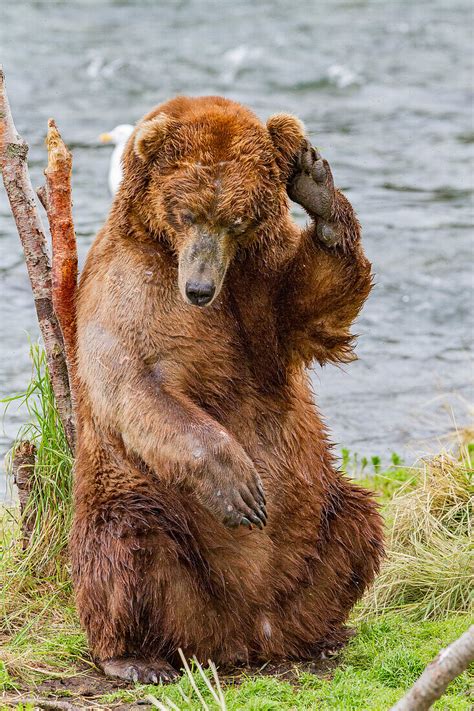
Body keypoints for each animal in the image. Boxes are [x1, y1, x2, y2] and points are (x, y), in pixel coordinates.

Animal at [70, 95, 384, 683]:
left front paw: (315, 182)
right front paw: (240, 486)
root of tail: (246, 635)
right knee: (125, 547)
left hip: (318, 514)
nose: (198, 288)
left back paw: (325, 634)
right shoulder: (127, 287)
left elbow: (316, 302)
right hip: (148, 508)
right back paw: (134, 657)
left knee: (358, 522)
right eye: (187, 212)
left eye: (236, 219)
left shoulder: (258, 287)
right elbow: (134, 386)